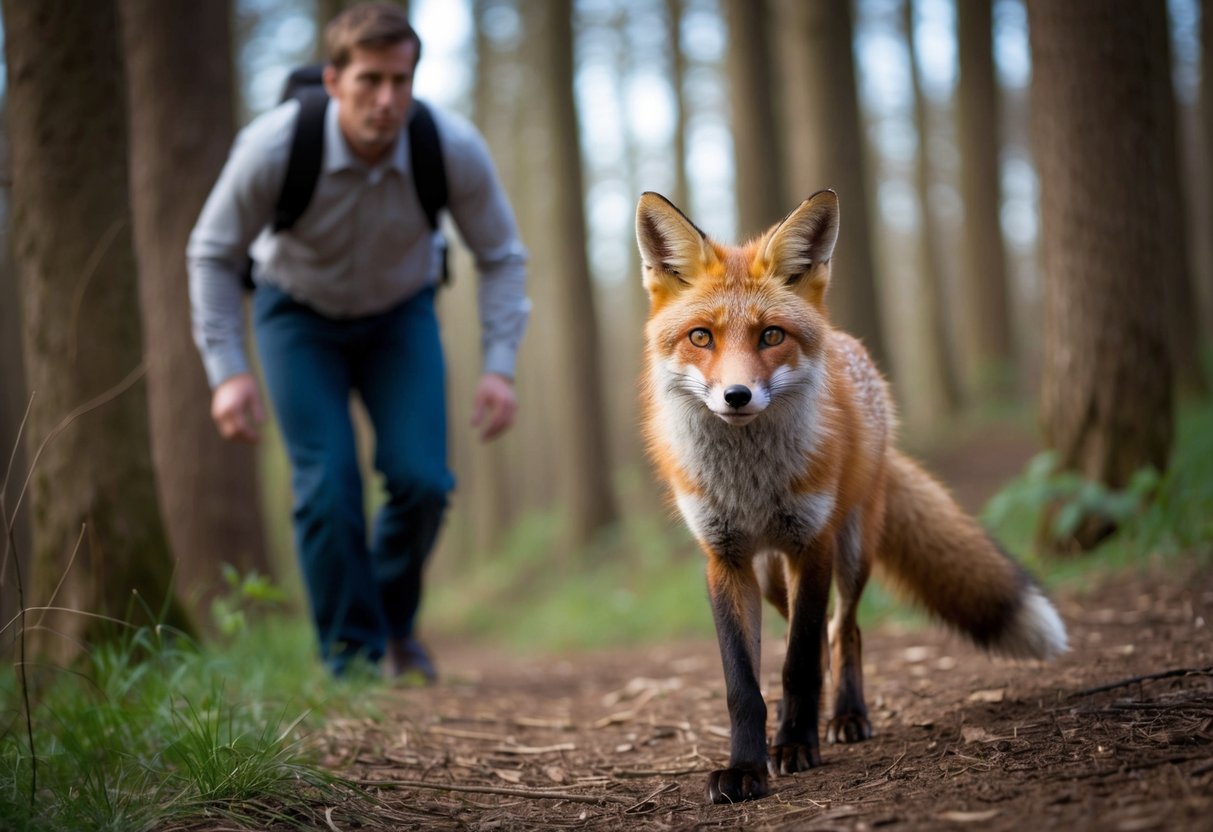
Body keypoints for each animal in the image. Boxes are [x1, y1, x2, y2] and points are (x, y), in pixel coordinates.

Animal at [635, 190, 1068, 804]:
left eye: (771, 335)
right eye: (701, 337)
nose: (737, 396)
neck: (751, 485)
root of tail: (849, 346)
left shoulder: (811, 543)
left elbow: (797, 665)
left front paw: (795, 747)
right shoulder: (726, 558)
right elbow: (745, 684)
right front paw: (746, 766)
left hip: (852, 548)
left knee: (843, 632)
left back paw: (844, 718)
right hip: (773, 576)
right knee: (817, 638)